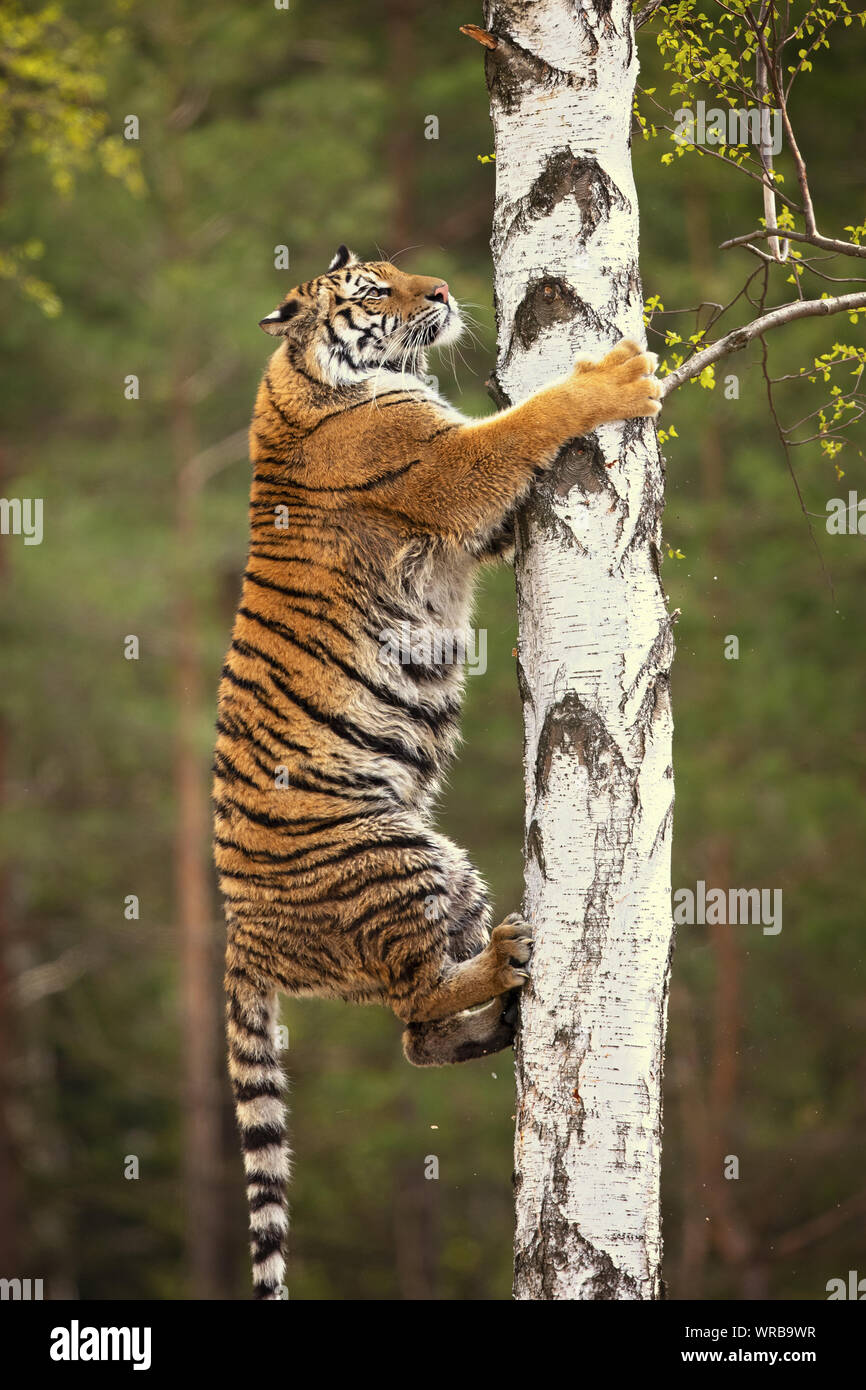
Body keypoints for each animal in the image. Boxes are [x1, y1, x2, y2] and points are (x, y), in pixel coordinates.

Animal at [213, 243, 662, 1299]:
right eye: (374, 289)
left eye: (392, 266)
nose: (446, 291)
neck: (311, 377)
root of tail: (237, 932)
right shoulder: (447, 468)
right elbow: (521, 428)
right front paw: (614, 379)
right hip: (394, 855)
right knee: (414, 997)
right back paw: (503, 964)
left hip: (437, 865)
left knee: (416, 1034)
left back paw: (498, 1008)